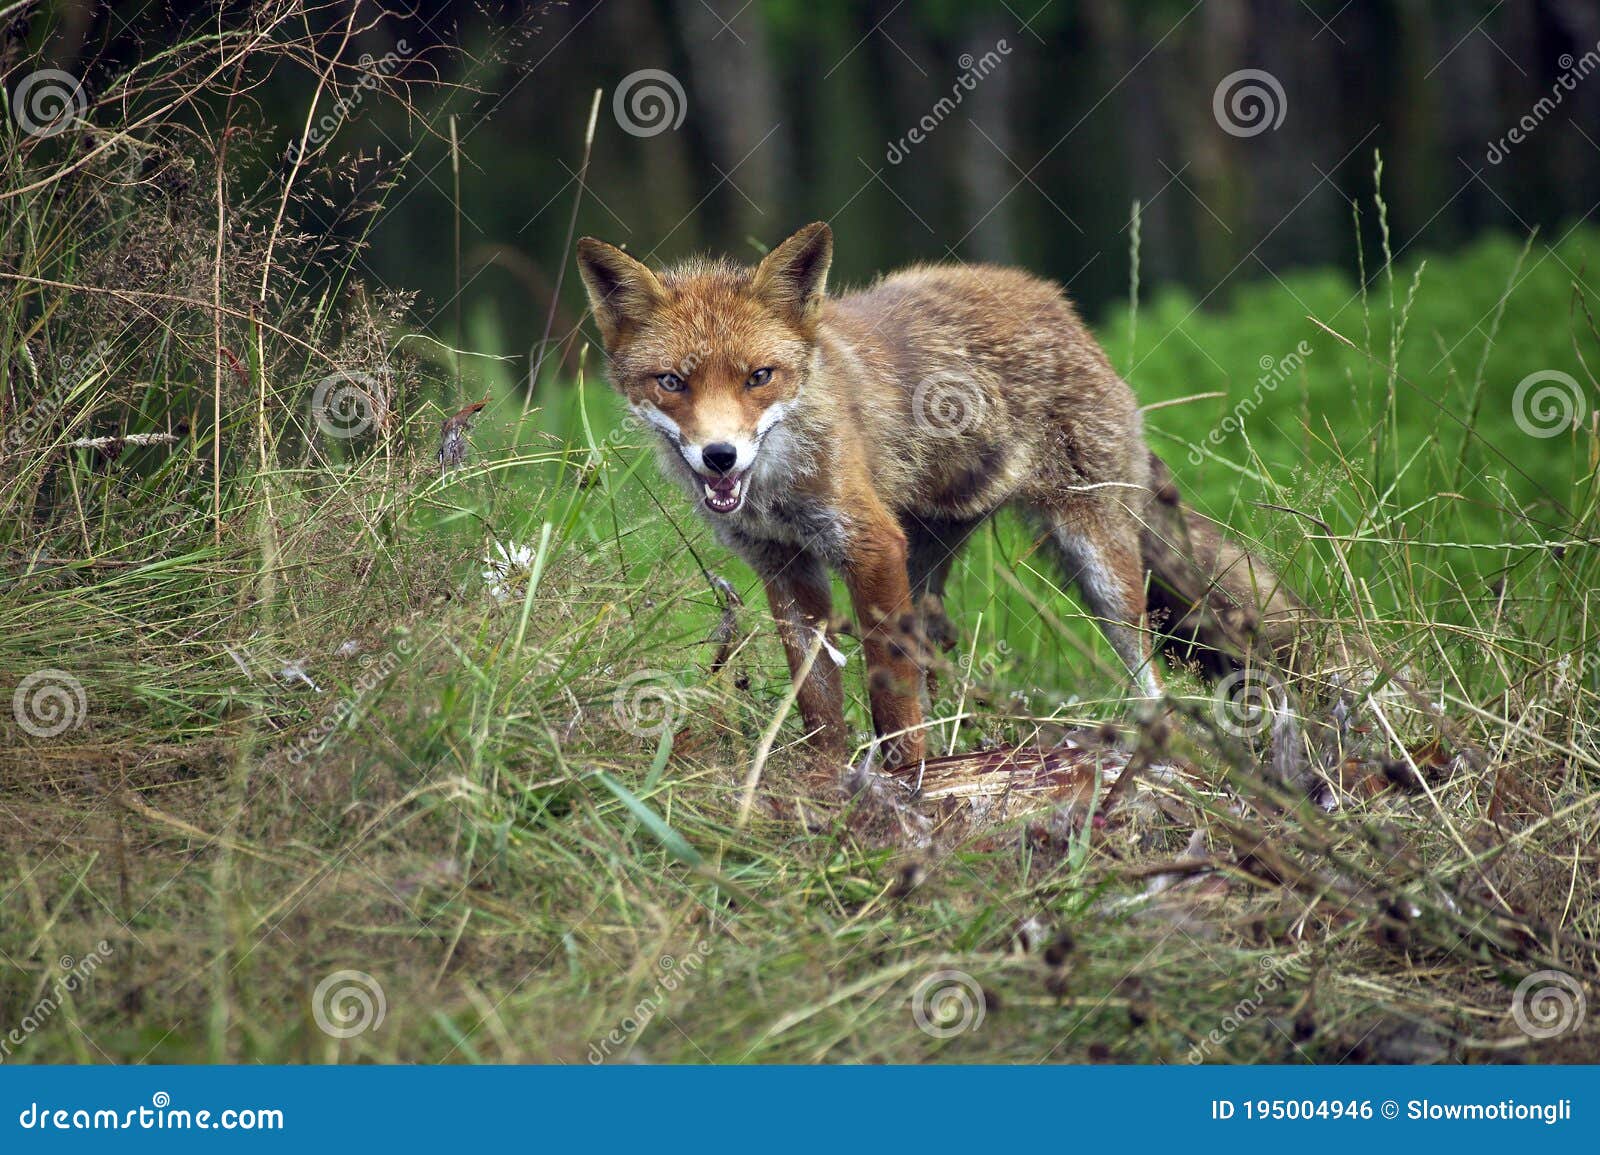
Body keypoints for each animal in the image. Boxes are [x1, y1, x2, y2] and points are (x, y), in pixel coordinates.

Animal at [577, 222, 1307, 774]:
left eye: (760, 376)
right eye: (671, 382)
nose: (720, 456)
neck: (778, 487)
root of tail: (1057, 302)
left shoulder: (869, 543)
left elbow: (891, 701)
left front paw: (904, 784)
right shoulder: (784, 566)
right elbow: (818, 703)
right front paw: (826, 781)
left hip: (1098, 560)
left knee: (1147, 673)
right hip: (926, 565)